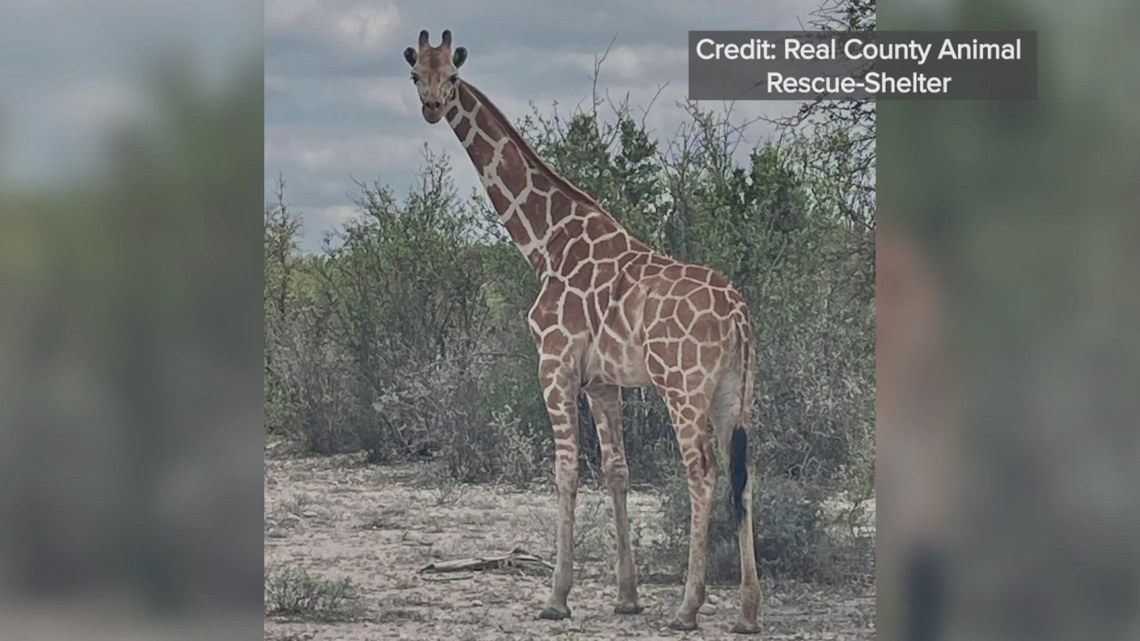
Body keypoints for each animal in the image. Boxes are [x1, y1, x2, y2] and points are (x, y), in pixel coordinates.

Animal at [403, 30, 763, 634]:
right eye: (415, 75)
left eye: (452, 75)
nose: (431, 107)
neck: (545, 243)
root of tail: (737, 312)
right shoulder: (602, 380)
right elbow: (617, 471)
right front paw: (627, 596)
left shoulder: (555, 363)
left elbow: (566, 471)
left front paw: (556, 597)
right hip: (735, 391)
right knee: (744, 472)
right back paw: (748, 612)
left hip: (683, 386)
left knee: (703, 472)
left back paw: (688, 607)